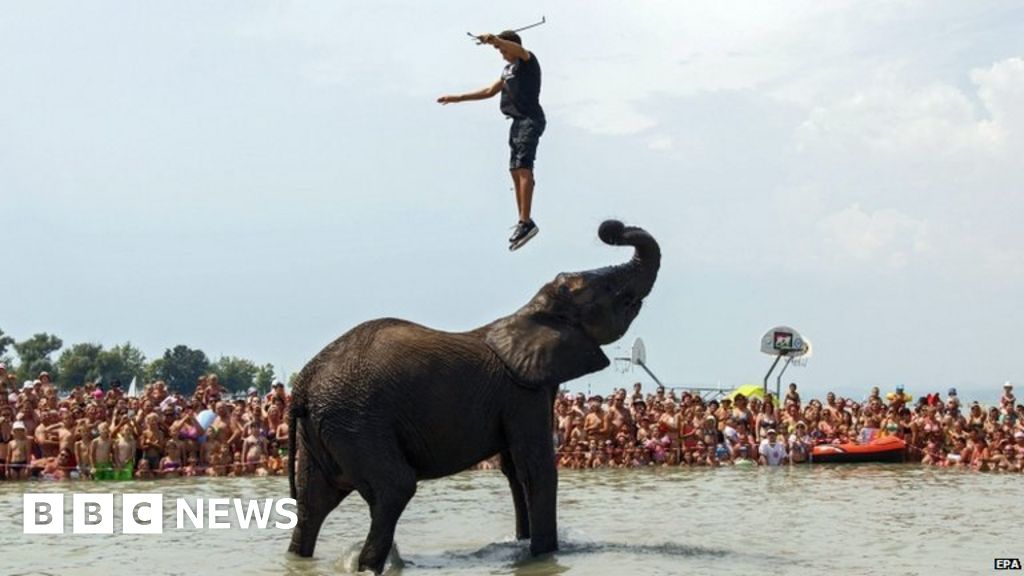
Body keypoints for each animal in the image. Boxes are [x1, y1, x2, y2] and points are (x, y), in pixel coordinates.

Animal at [287, 219, 660, 573]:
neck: (530, 311)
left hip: (324, 430)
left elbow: (514, 471)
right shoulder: (522, 394)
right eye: (608, 291)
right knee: (394, 489)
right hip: (357, 420)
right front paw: (545, 555)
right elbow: (536, 468)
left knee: (312, 503)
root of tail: (305, 382)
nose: (610, 229)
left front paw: (523, 547)